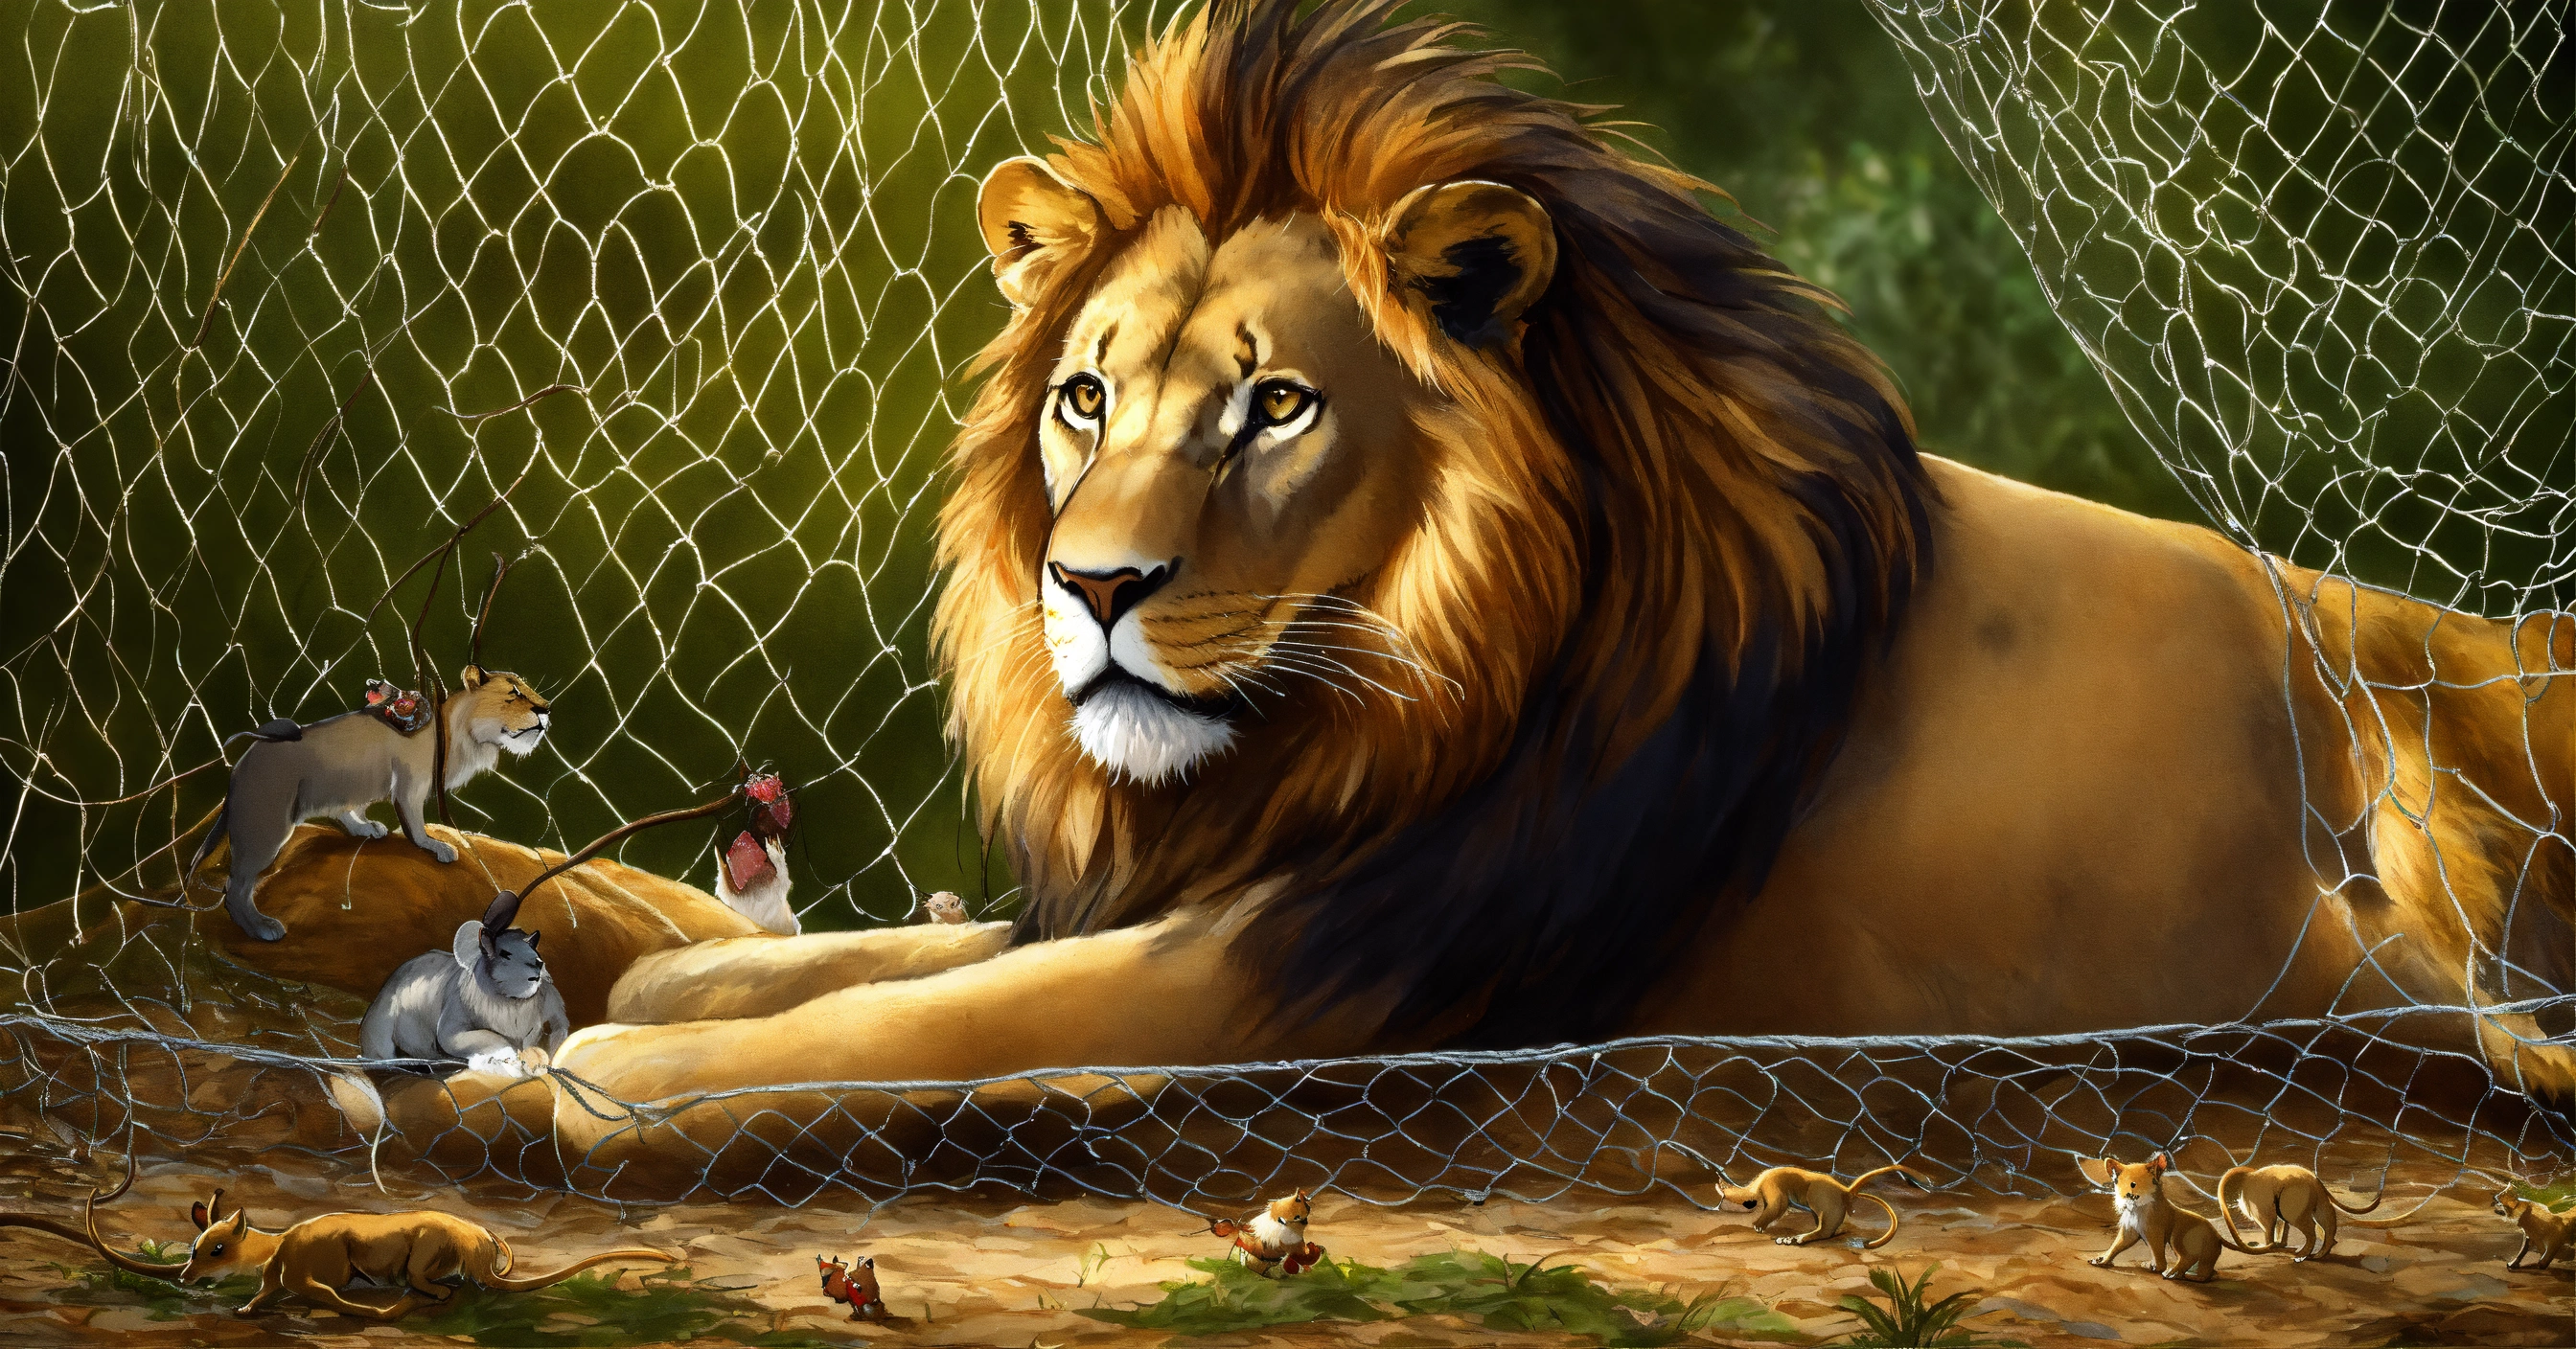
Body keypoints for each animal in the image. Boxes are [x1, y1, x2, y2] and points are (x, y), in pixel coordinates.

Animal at [261, 0, 2566, 1178]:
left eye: (1273, 406)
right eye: (1085, 395)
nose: (1090, 588)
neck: (1375, 704)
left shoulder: (1358, 963)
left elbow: (961, 1006)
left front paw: (607, 1071)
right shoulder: (1246, 870)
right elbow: (892, 955)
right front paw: (681, 989)